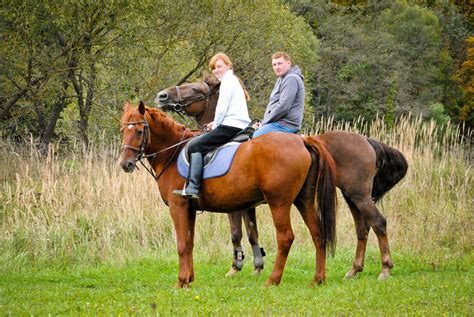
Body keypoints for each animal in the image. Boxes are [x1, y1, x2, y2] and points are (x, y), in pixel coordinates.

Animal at [120, 101, 338, 286]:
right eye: (123, 130)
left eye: (138, 131)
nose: (125, 164)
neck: (172, 153)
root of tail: (302, 141)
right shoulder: (189, 209)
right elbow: (189, 243)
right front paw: (189, 279)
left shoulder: (178, 207)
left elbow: (181, 244)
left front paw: (180, 282)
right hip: (304, 200)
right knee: (317, 233)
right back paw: (318, 279)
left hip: (279, 203)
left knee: (285, 238)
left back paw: (272, 280)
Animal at [157, 78, 410, 278]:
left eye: (195, 89)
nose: (162, 96)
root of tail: (365, 140)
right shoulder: (247, 204)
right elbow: (252, 233)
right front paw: (257, 266)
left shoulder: (236, 205)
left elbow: (237, 233)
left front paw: (236, 266)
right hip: (352, 196)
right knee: (362, 228)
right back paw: (355, 269)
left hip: (358, 195)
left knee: (378, 223)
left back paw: (385, 268)